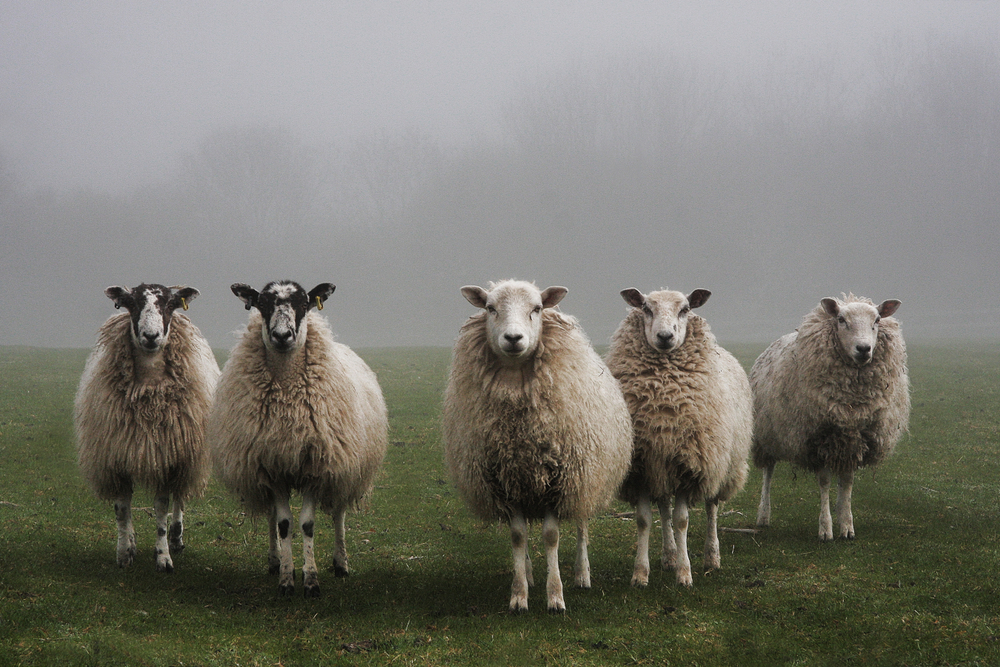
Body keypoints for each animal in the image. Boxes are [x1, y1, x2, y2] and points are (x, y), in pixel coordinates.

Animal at [75, 283, 219, 572]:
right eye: (132, 304)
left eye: (169, 304)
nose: (151, 336)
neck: (148, 388)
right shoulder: (117, 455)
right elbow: (122, 509)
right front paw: (123, 552)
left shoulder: (167, 456)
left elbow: (162, 508)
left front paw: (163, 556)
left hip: (186, 454)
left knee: (179, 497)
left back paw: (176, 538)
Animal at [208, 280, 388, 597]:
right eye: (262, 304)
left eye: (304, 304)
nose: (282, 336)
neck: (287, 395)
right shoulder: (272, 467)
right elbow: (283, 524)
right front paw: (286, 579)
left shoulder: (316, 467)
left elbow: (306, 525)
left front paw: (311, 580)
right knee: (271, 516)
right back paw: (275, 561)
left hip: (344, 466)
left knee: (339, 513)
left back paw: (341, 563)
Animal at [443, 279, 633, 613]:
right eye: (490, 308)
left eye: (537, 308)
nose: (513, 338)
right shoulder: (506, 481)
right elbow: (518, 536)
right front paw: (519, 595)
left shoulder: (559, 480)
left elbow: (551, 536)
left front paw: (555, 596)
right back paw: (530, 574)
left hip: (585, 475)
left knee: (582, 524)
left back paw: (582, 574)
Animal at [605, 288, 753, 587]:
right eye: (646, 308)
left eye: (685, 309)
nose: (665, 336)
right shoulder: (642, 467)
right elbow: (644, 520)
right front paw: (641, 574)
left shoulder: (690, 465)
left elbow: (683, 520)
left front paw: (685, 574)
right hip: (661, 468)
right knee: (664, 507)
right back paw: (669, 555)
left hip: (720, 464)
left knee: (711, 507)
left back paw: (712, 557)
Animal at [751, 293, 910, 541]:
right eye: (841, 320)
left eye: (876, 320)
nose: (863, 349)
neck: (852, 401)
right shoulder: (819, 439)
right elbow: (824, 482)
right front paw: (826, 528)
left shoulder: (854, 441)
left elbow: (847, 482)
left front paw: (846, 524)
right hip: (766, 434)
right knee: (768, 472)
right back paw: (763, 515)